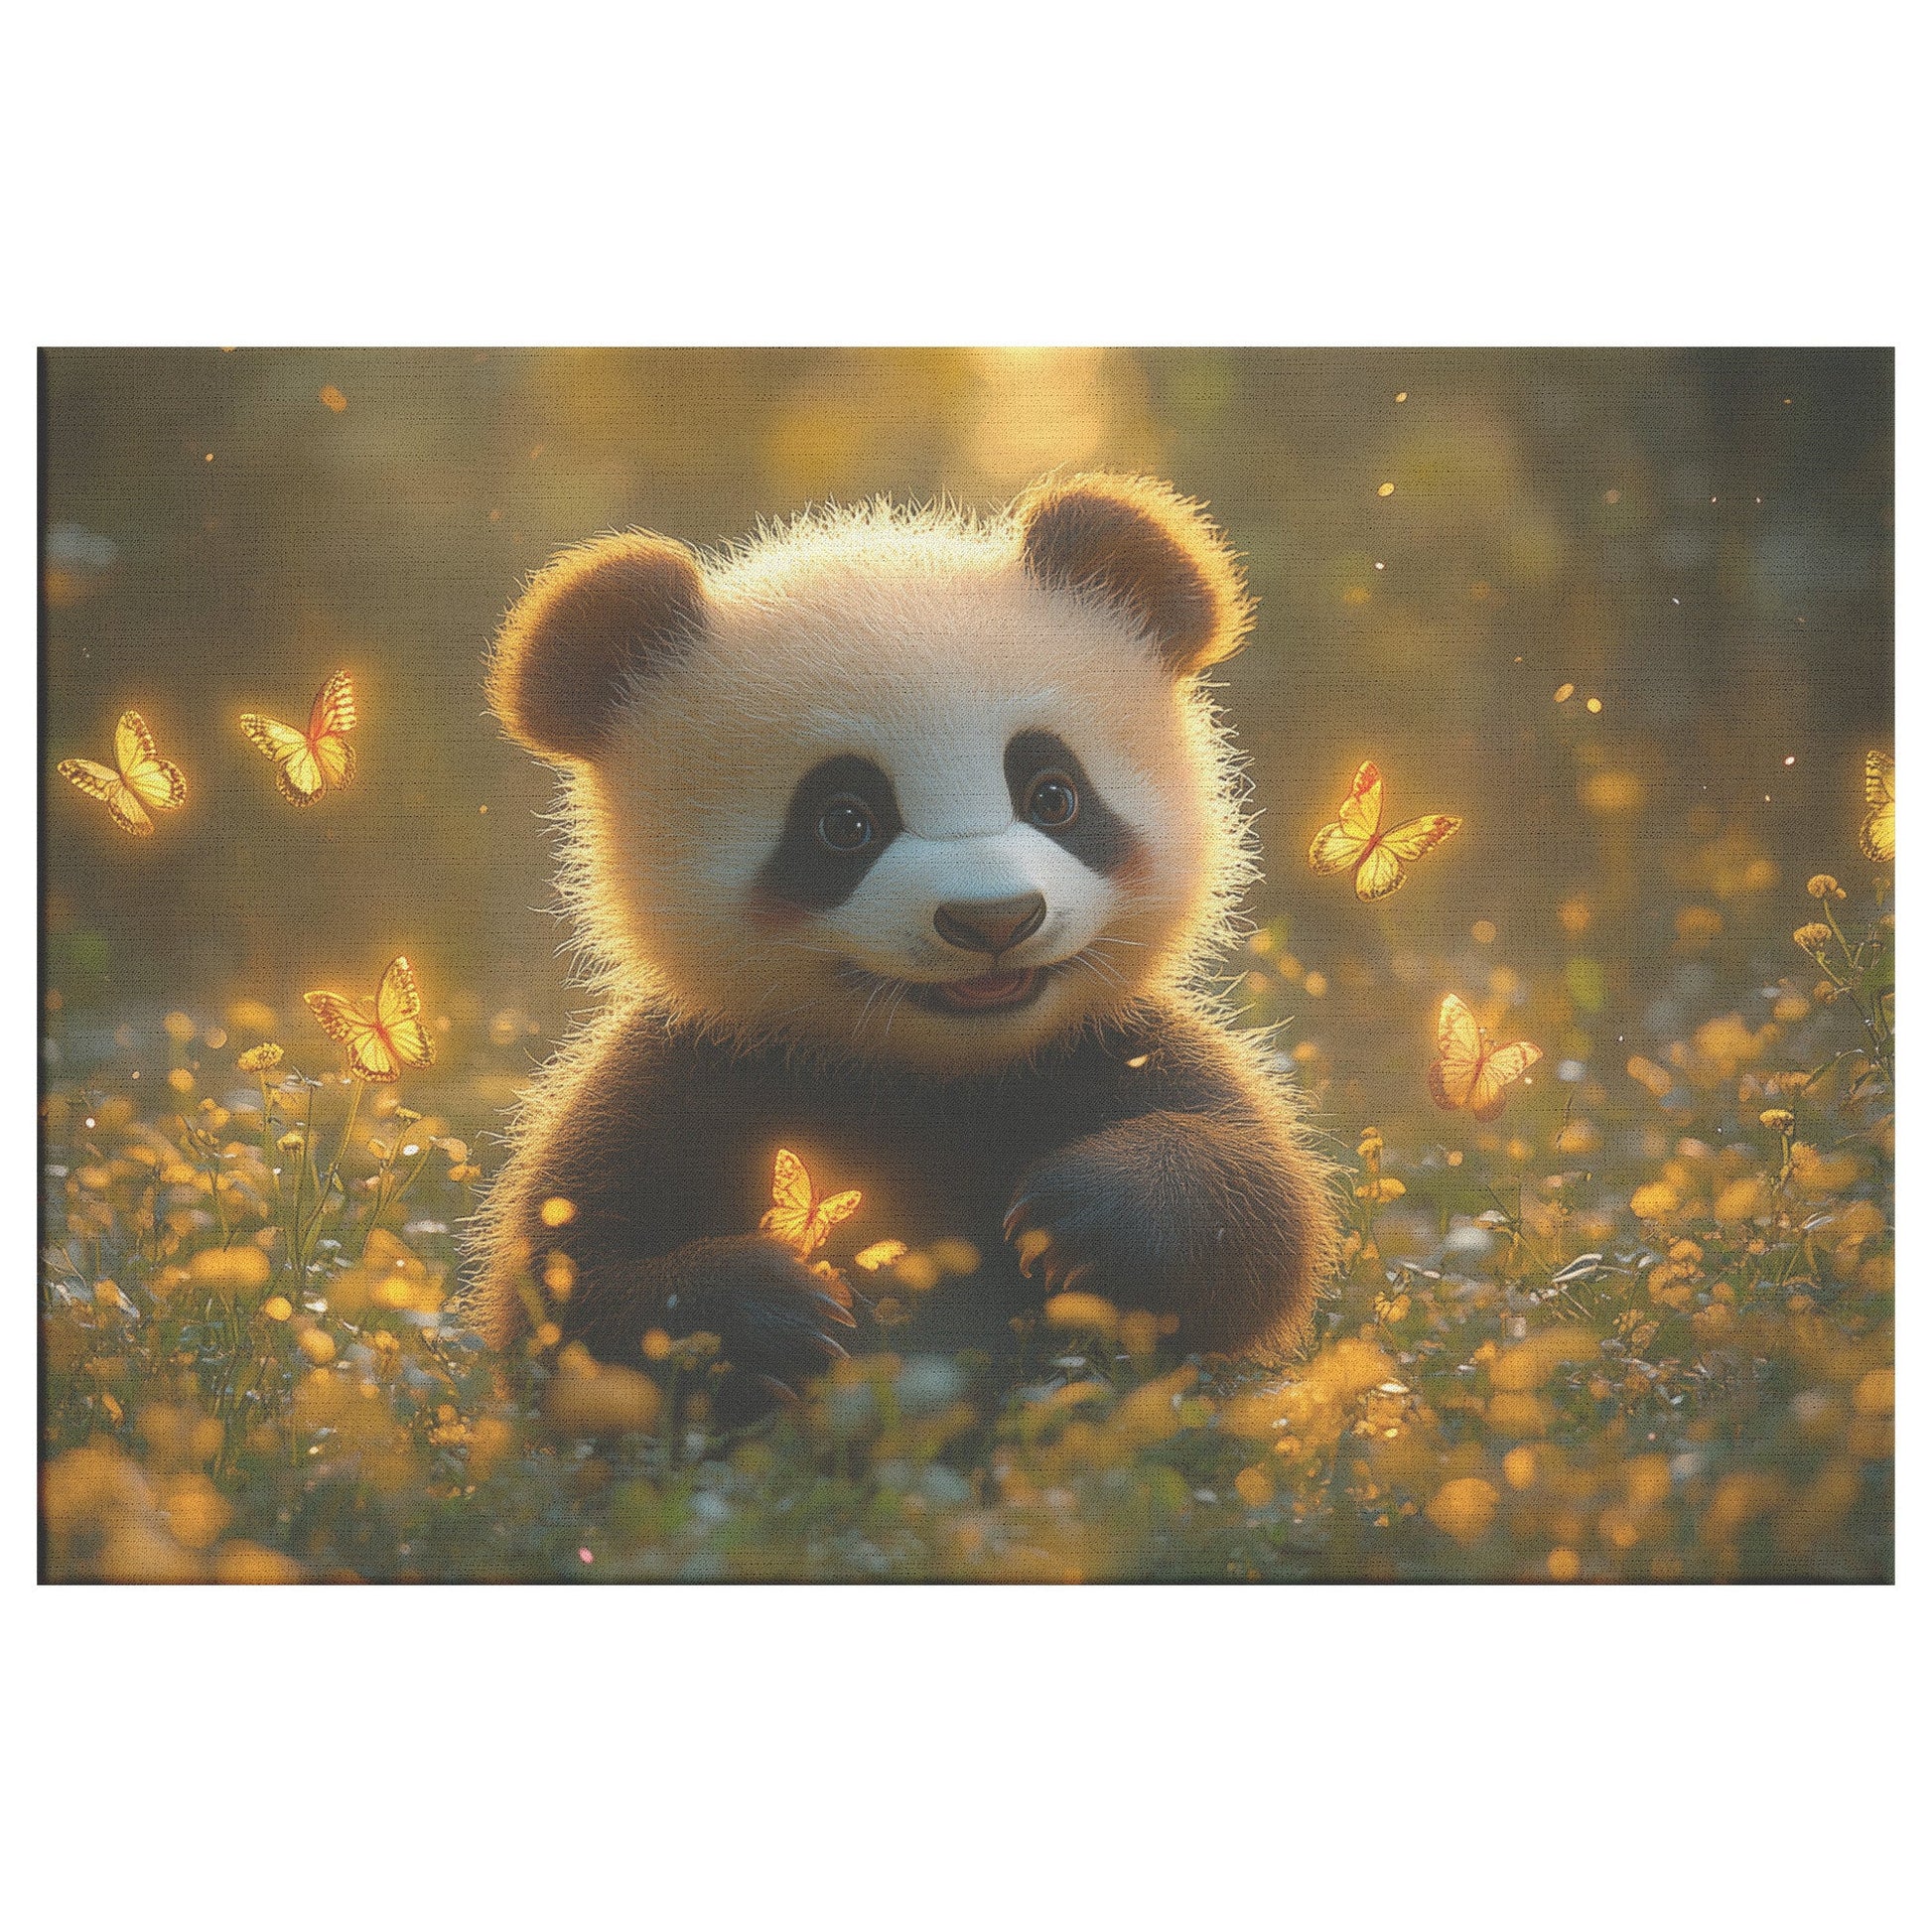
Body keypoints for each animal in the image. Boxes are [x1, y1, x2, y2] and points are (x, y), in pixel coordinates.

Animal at [469, 473, 1338, 1417]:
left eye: (1053, 794)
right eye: (844, 821)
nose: (994, 920)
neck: (935, 1077)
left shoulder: (1105, 1045)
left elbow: (1270, 1214)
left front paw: (1083, 1217)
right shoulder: (693, 1069)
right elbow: (559, 1295)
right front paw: (767, 1314)